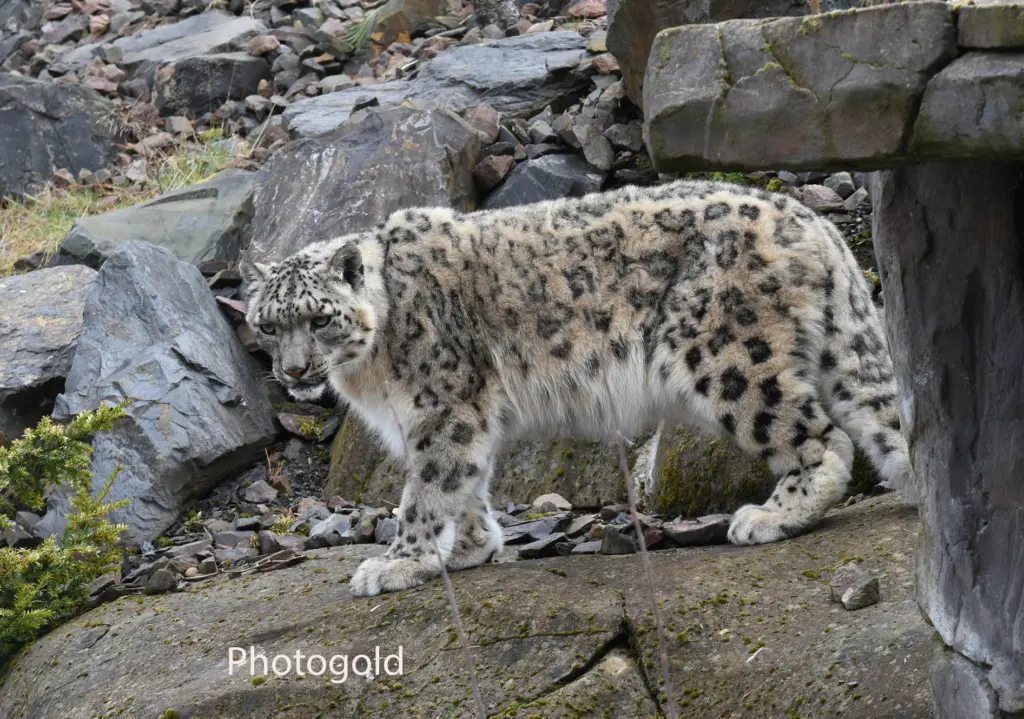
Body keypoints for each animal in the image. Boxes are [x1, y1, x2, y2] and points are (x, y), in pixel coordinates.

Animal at [240, 178, 912, 597]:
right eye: (268, 325)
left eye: (319, 319)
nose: (294, 371)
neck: (372, 371)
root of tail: (813, 220)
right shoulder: (461, 417)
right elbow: (467, 480)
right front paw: (471, 548)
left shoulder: (443, 406)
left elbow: (429, 487)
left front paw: (398, 563)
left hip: (728, 358)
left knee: (821, 438)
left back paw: (774, 516)